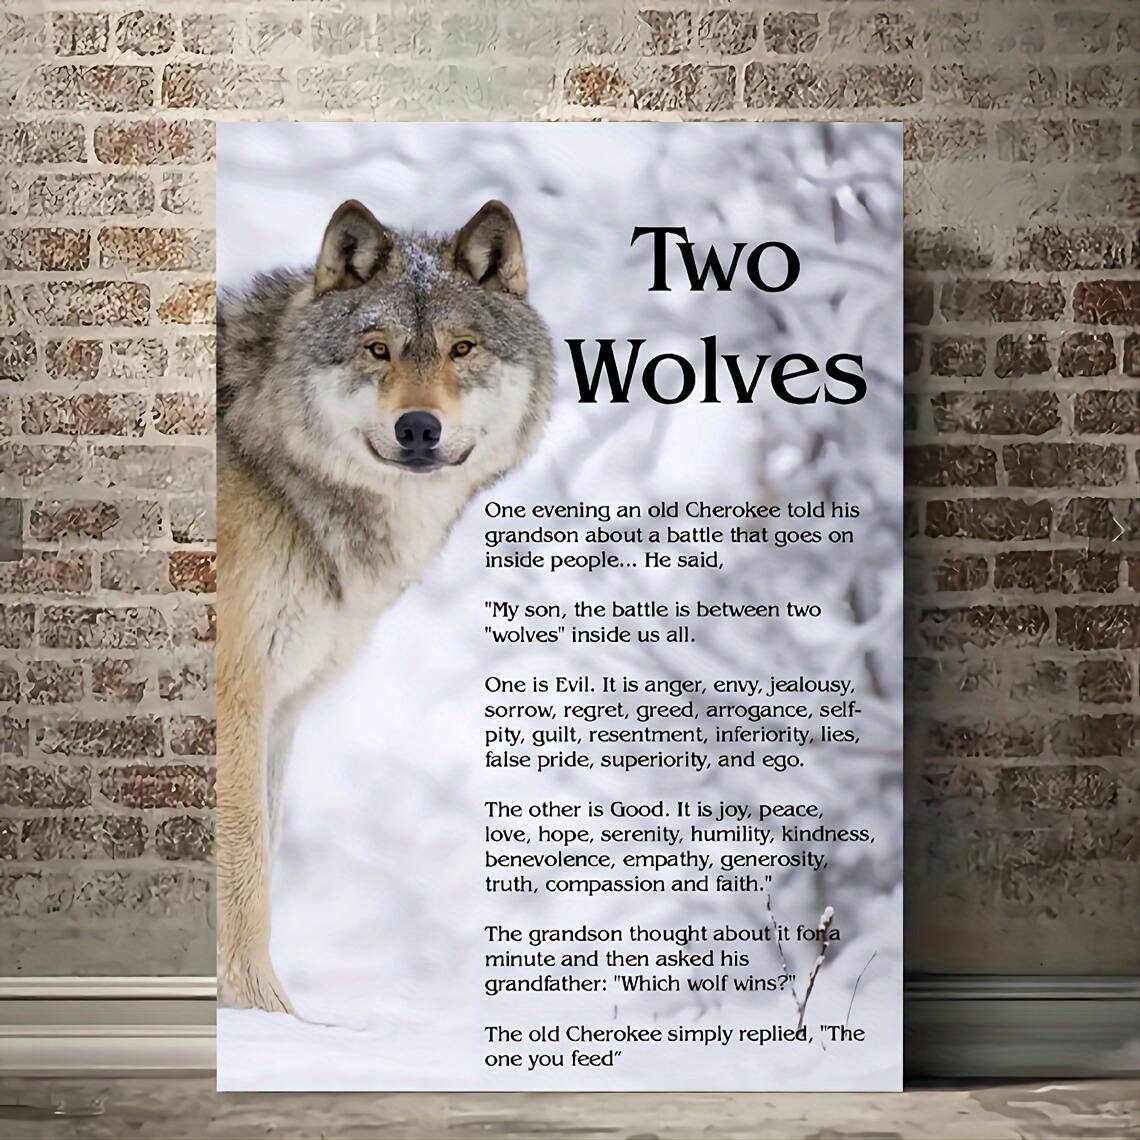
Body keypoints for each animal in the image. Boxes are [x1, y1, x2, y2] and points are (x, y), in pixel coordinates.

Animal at [216, 200, 554, 1013]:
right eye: (378, 349)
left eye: (462, 348)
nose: (419, 428)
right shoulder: (236, 695)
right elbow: (247, 865)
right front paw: (265, 1013)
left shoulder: (282, 708)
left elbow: (264, 849)